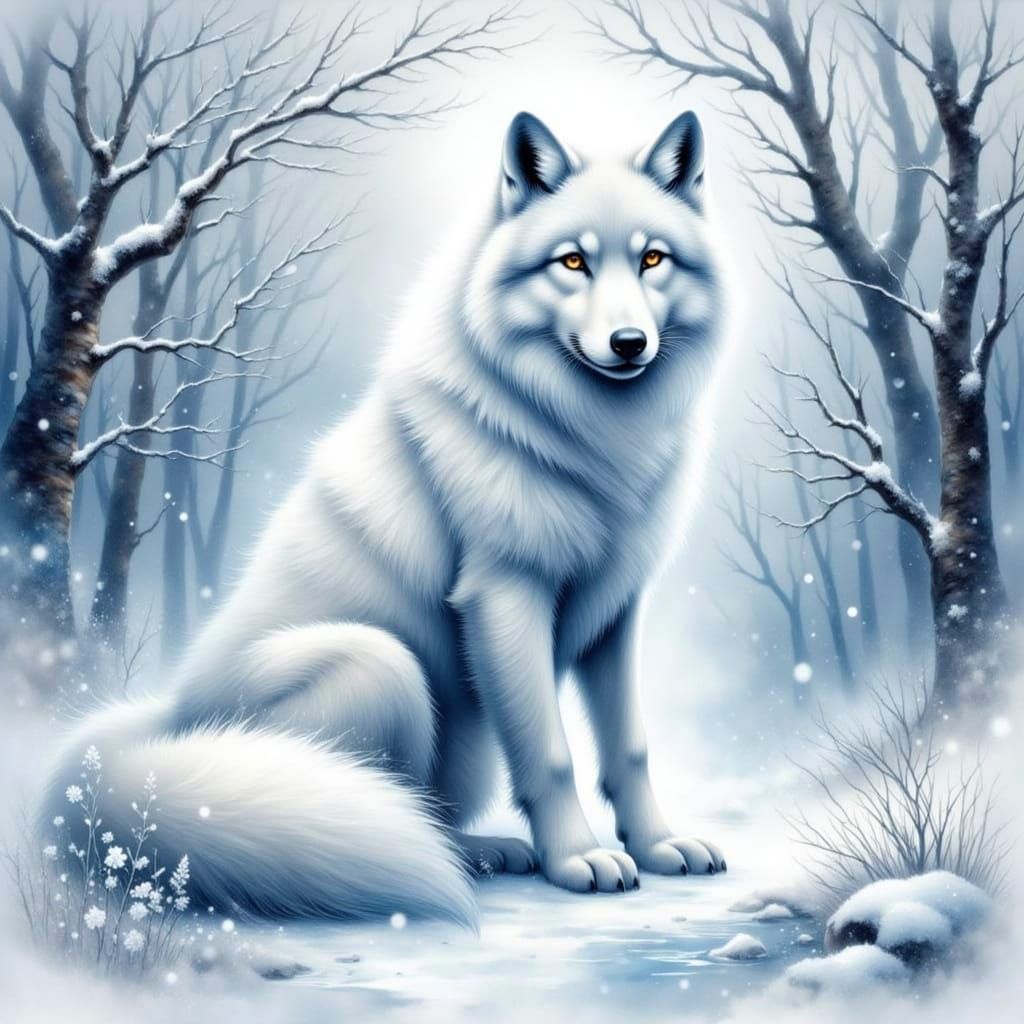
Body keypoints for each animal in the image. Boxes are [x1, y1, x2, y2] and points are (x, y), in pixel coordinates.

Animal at [43, 110, 726, 927]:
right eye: (572, 262)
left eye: (653, 258)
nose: (630, 344)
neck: (592, 441)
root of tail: (169, 722)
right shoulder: (506, 595)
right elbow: (553, 755)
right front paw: (579, 860)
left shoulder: (615, 612)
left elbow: (629, 749)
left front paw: (658, 845)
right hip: (386, 668)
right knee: (394, 800)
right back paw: (469, 858)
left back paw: (483, 852)